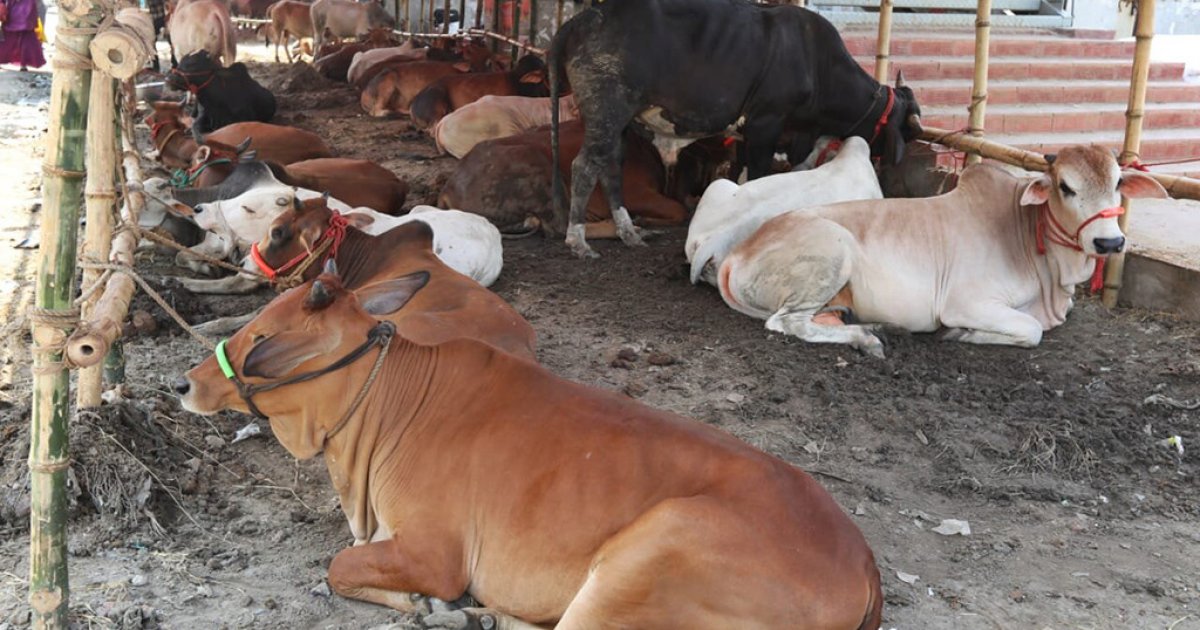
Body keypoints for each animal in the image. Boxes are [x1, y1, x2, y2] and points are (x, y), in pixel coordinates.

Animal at [175, 266, 882, 630]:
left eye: (262, 336)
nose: (186, 382)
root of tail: (864, 566)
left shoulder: (434, 552)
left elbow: (338, 567)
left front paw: (427, 604)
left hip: (641, 560)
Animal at [546, 0, 923, 257]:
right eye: (906, 132)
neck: (819, 66)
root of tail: (583, 19)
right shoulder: (766, 123)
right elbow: (757, 177)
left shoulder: (749, 138)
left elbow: (741, 179)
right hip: (606, 110)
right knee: (584, 166)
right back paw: (577, 240)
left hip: (617, 122)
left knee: (611, 167)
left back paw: (629, 232)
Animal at [717, 145, 1169, 358]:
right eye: (1065, 186)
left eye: (1117, 184)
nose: (1110, 242)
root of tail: (738, 252)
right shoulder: (967, 302)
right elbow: (1031, 330)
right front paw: (961, 334)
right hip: (832, 253)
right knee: (786, 323)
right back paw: (866, 338)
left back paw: (876, 327)